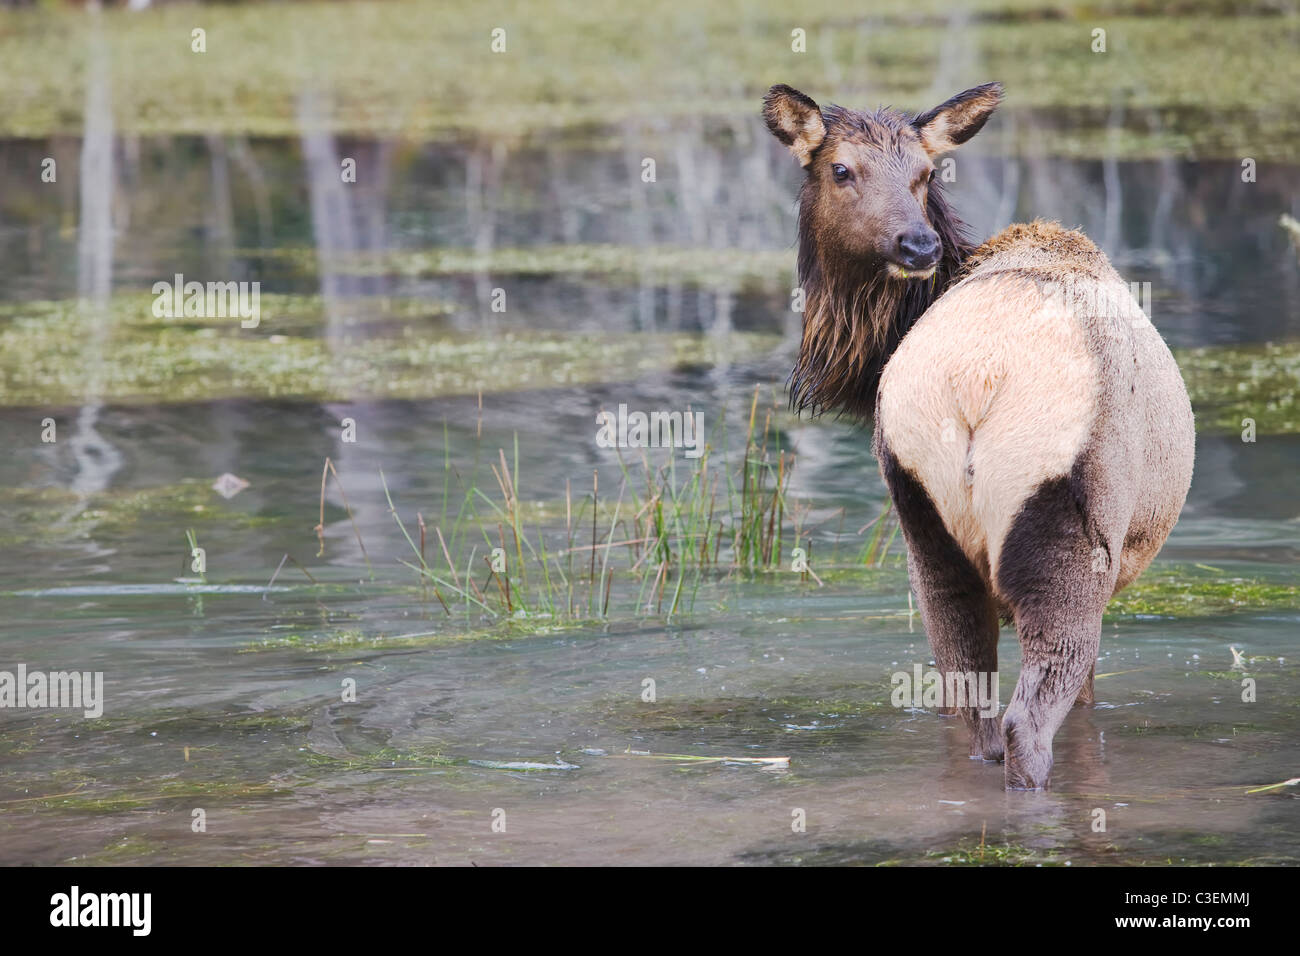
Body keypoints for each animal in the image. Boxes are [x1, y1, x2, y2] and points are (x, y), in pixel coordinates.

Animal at [764, 82, 1195, 789]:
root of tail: (977, 375)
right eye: (841, 169)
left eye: (925, 172)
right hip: (1069, 534)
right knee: (1025, 723)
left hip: (926, 527)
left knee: (970, 708)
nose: (918, 246)